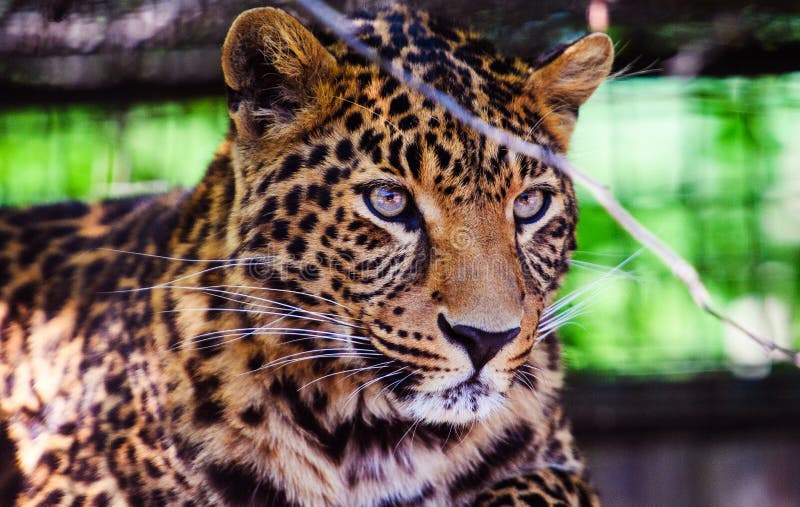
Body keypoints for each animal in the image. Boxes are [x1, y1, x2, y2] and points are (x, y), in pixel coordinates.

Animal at [0, 4, 613, 506]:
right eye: (388, 201)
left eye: (529, 204)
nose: (487, 340)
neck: (369, 445)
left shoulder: (558, 466)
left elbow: (537, 488)